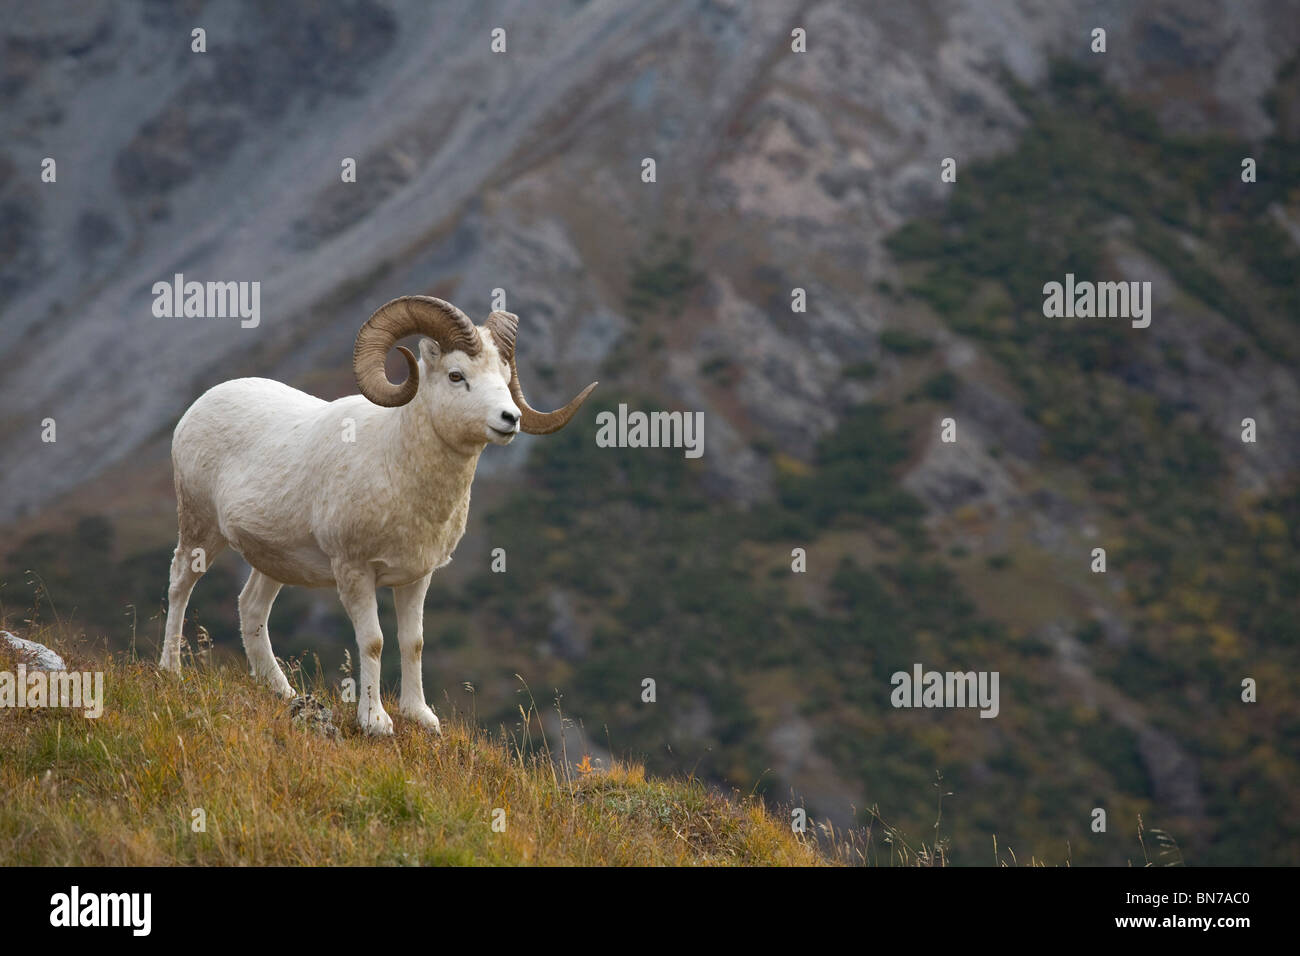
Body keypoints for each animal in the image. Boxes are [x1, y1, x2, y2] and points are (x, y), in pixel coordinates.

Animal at [157, 296, 596, 735]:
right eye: (457, 375)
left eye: (505, 377)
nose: (510, 419)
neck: (398, 467)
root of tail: (197, 408)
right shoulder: (354, 572)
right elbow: (373, 640)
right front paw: (376, 721)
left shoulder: (417, 578)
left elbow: (412, 642)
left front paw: (421, 717)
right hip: (199, 527)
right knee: (180, 584)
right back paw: (171, 671)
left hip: (272, 560)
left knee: (251, 609)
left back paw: (282, 691)